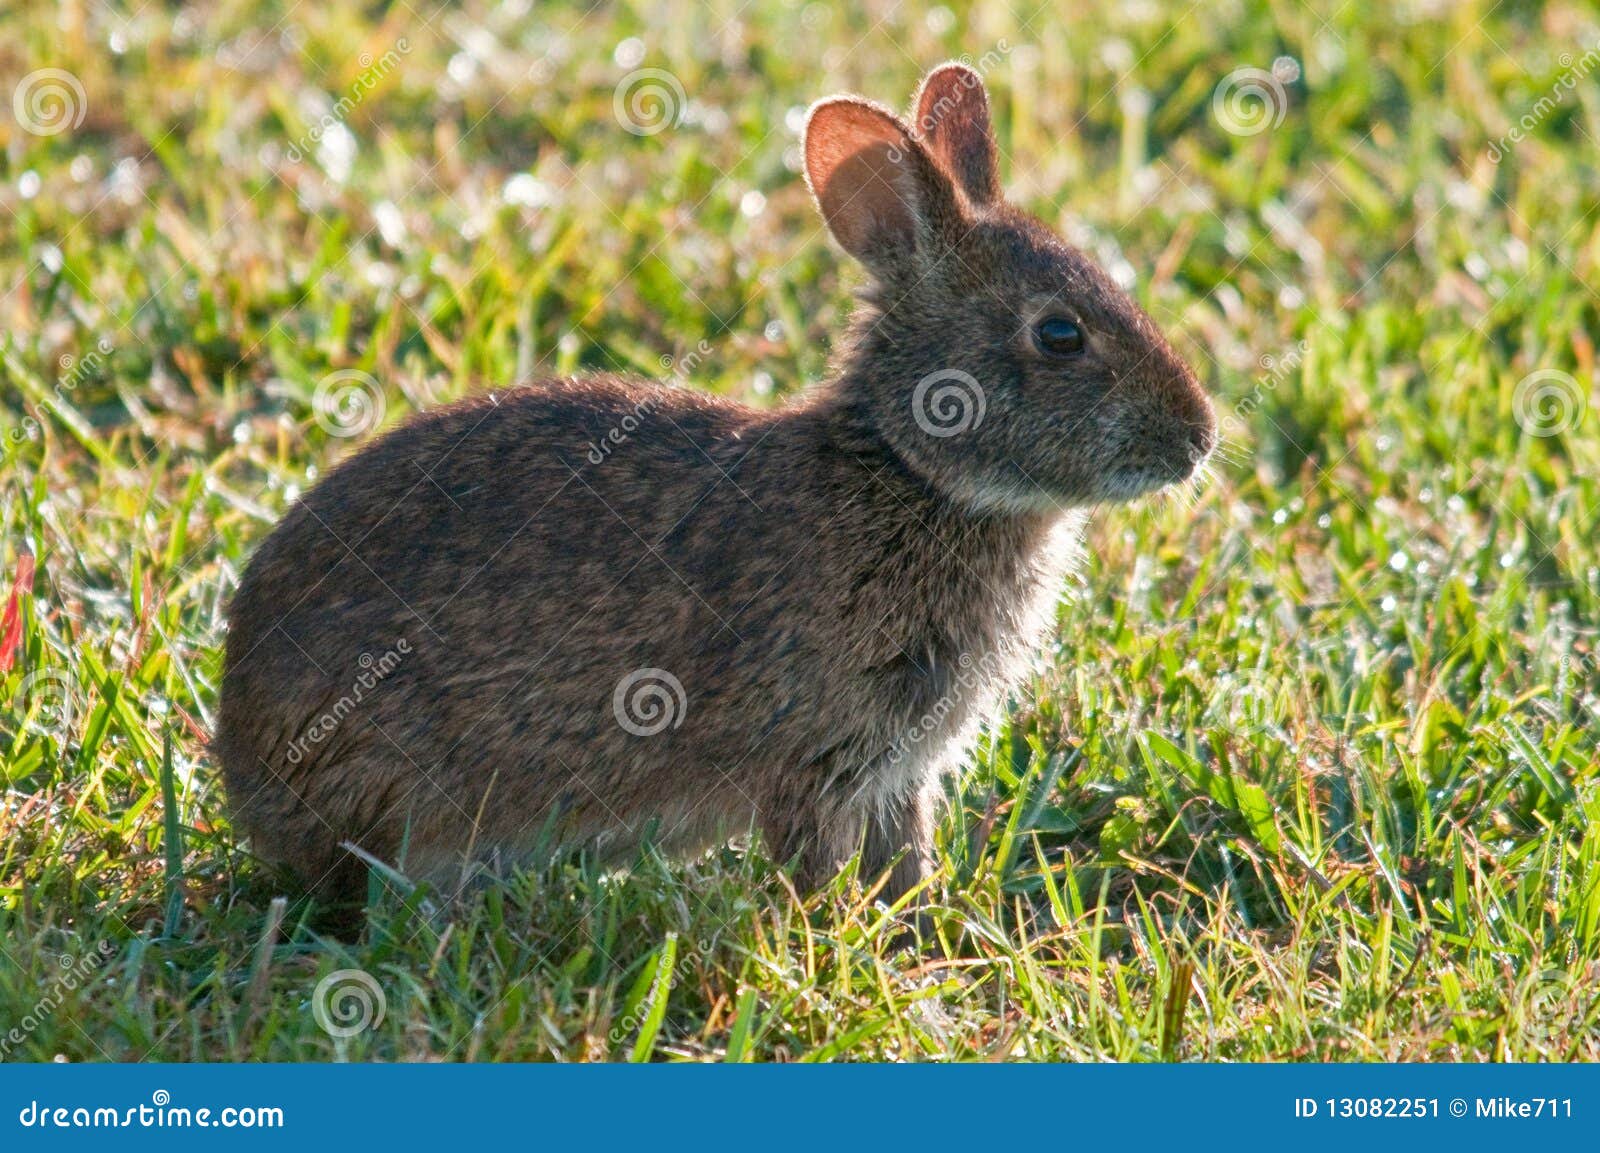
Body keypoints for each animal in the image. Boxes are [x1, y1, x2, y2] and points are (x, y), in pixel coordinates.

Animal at [216, 62, 1215, 914]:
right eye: (1059, 335)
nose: (1199, 438)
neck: (912, 474)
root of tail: (245, 766)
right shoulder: (814, 757)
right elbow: (819, 869)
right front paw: (849, 948)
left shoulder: (896, 770)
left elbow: (904, 859)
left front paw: (921, 936)